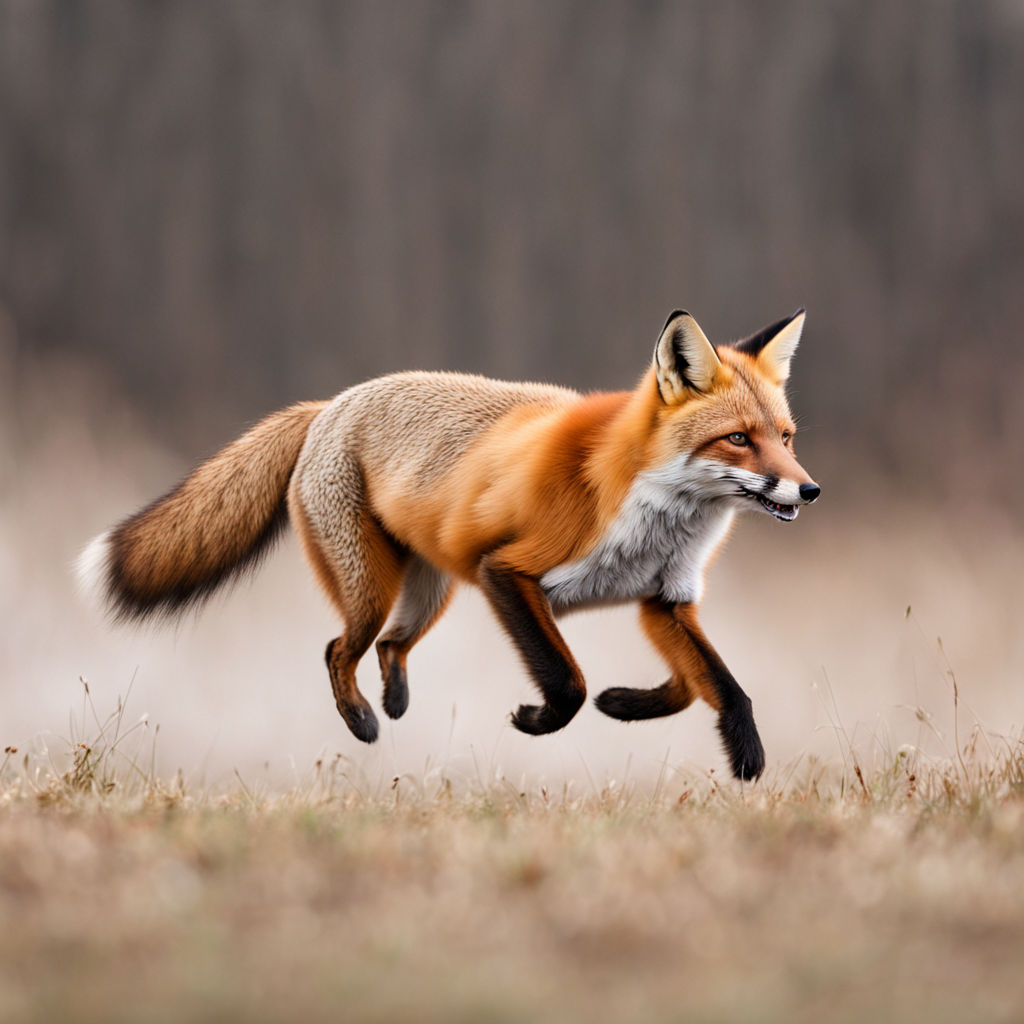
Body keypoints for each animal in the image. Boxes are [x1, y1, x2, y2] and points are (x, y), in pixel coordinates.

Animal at [77, 309, 819, 780]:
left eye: (785, 438)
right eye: (737, 439)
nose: (809, 491)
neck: (651, 520)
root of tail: (331, 404)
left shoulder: (663, 600)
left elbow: (710, 687)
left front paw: (660, 718)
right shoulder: (510, 573)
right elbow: (569, 682)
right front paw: (539, 719)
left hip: (432, 591)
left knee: (388, 646)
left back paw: (395, 700)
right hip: (375, 587)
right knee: (338, 648)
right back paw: (362, 720)